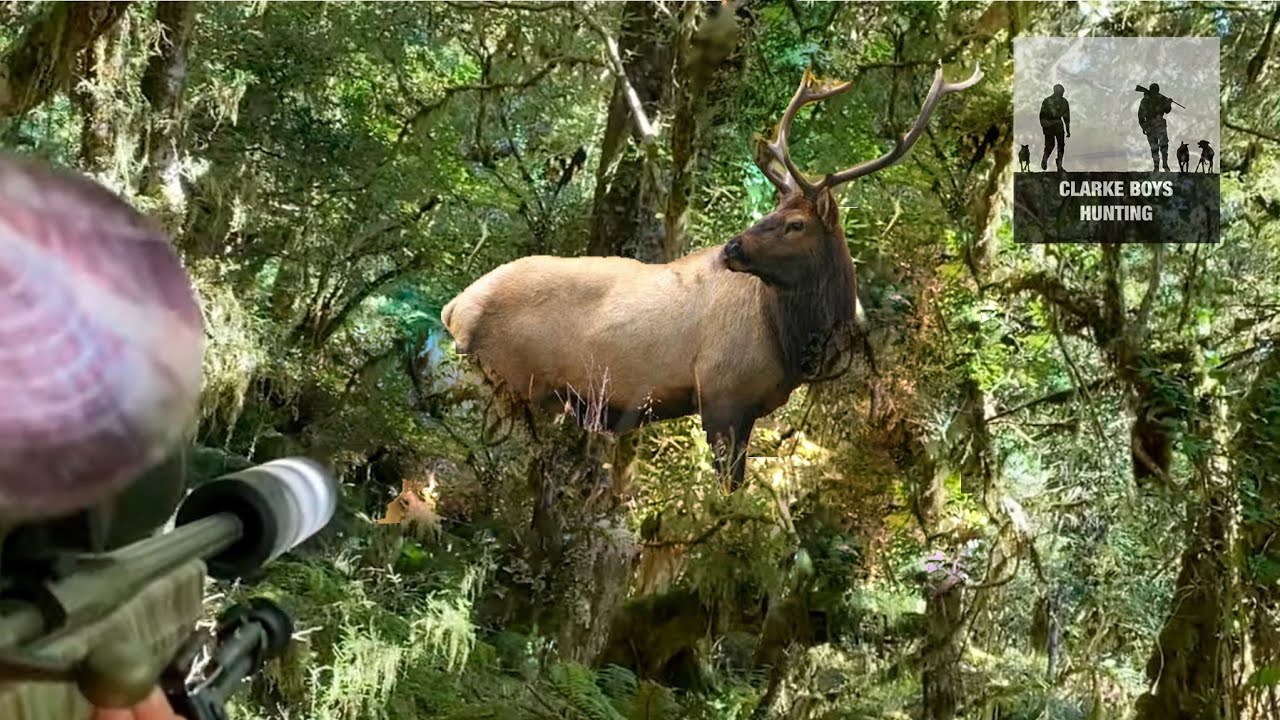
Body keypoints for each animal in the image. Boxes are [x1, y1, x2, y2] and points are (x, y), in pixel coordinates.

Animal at [441, 64, 983, 493]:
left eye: (794, 222)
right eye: (774, 210)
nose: (731, 247)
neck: (788, 339)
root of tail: (453, 309)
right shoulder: (722, 393)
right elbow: (727, 489)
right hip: (511, 384)